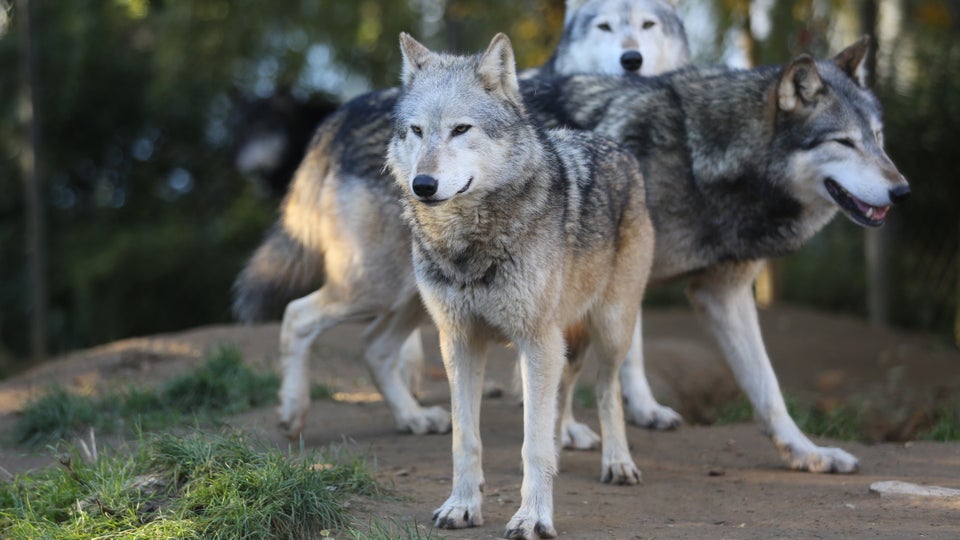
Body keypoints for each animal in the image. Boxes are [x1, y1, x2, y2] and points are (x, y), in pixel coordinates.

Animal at [233, 0, 692, 441]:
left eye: (460, 130)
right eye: (417, 131)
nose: (422, 185)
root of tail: (338, 117)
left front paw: (637, 413)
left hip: (408, 298)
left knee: (373, 347)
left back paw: (413, 418)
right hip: (376, 287)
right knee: (298, 316)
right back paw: (293, 413)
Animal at [388, 32, 652, 538]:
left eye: (461, 129)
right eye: (416, 131)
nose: (422, 184)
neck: (468, 245)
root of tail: (616, 147)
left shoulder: (535, 340)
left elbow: (533, 445)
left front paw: (533, 517)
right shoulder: (460, 341)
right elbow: (466, 439)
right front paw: (462, 506)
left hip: (609, 329)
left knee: (607, 392)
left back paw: (618, 462)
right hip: (562, 340)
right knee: (562, 395)